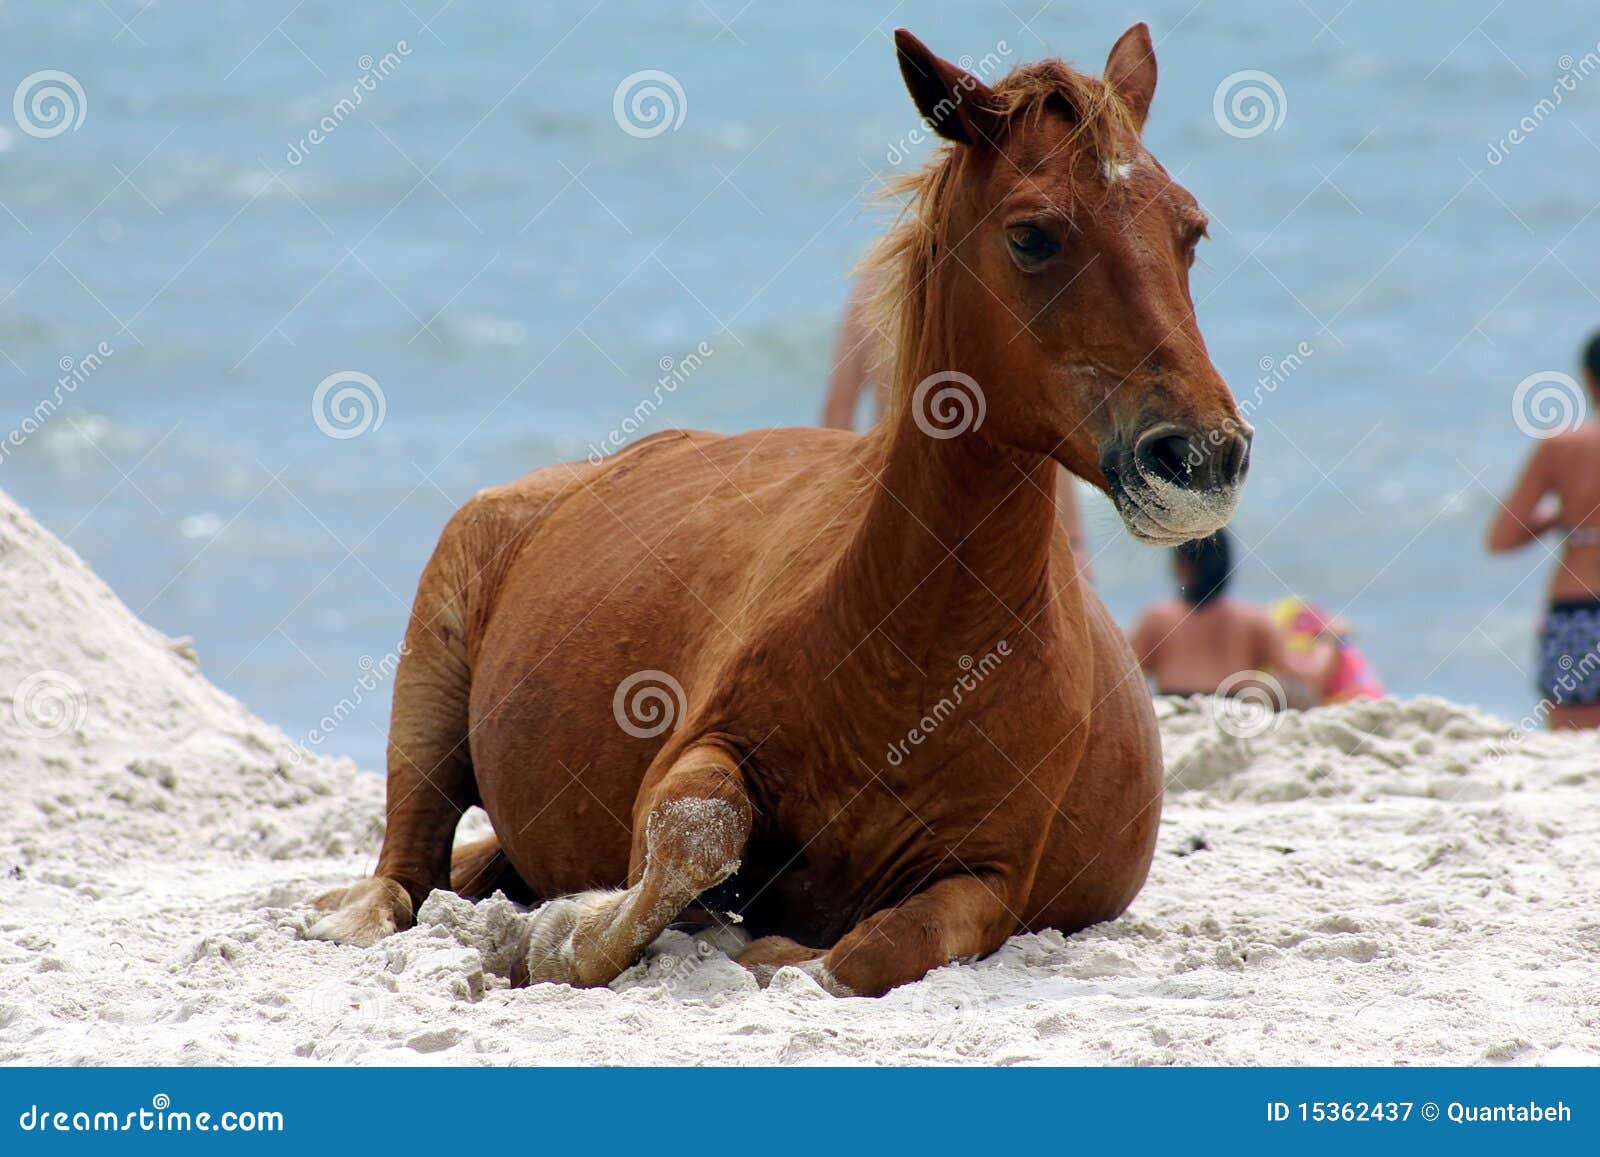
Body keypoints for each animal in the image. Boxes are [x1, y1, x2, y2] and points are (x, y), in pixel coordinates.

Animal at [310, 24, 1251, 997]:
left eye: (1189, 229)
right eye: (1032, 236)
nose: (1203, 456)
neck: (908, 654)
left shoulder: (992, 880)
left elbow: (876, 948)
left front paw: (769, 948)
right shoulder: (694, 759)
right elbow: (693, 837)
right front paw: (570, 931)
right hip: (432, 676)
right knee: (408, 864)